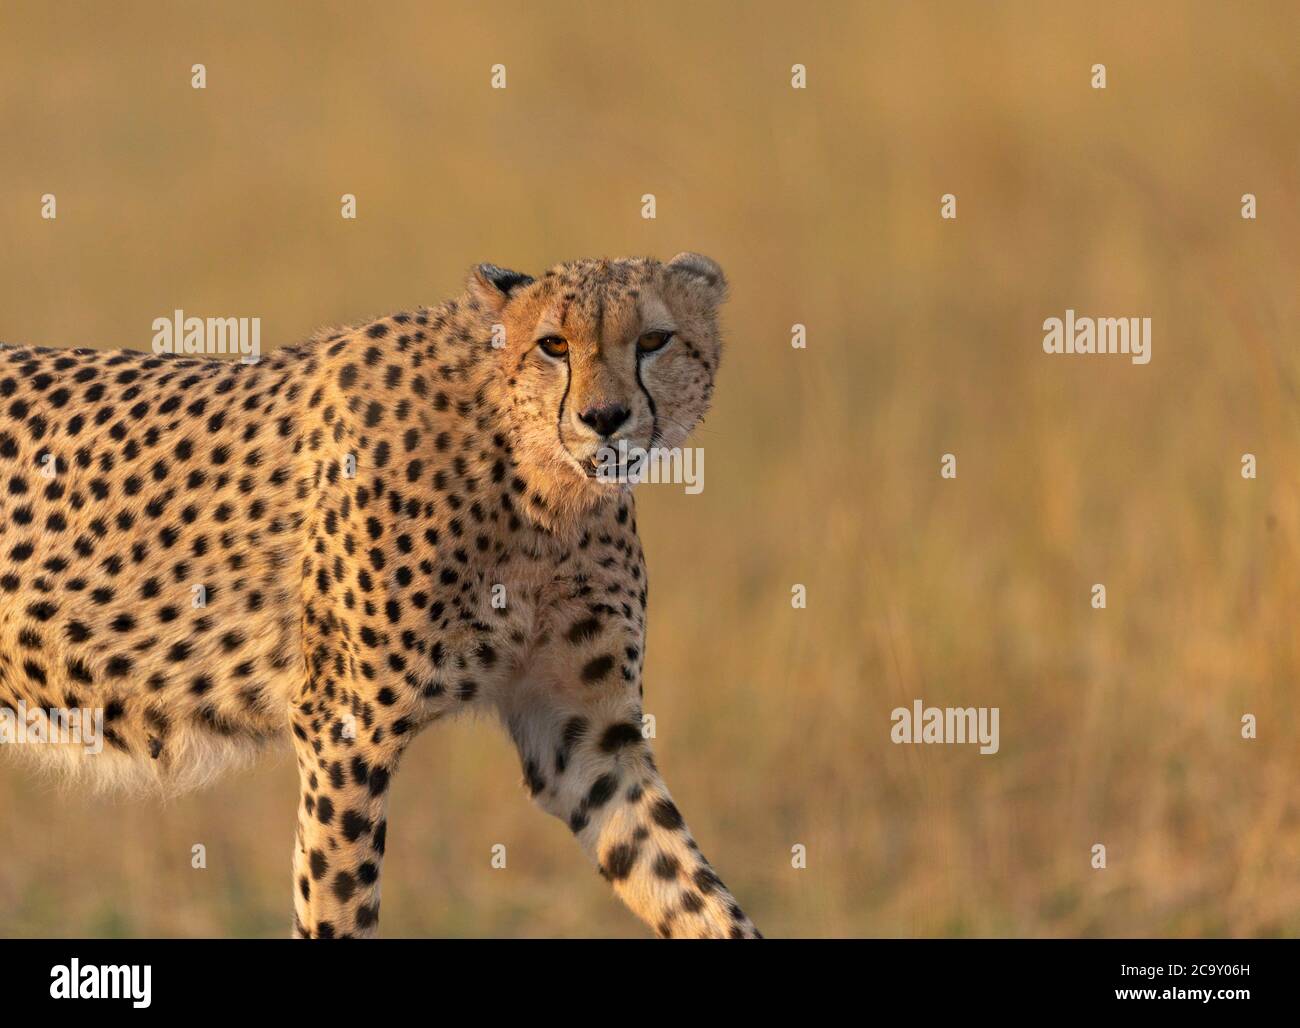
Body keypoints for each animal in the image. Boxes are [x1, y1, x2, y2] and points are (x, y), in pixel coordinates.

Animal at [0, 252, 761, 939]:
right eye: (553, 345)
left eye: (654, 340)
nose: (605, 416)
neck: (539, 487)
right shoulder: (345, 728)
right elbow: (339, 899)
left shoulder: (587, 741)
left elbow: (690, 889)